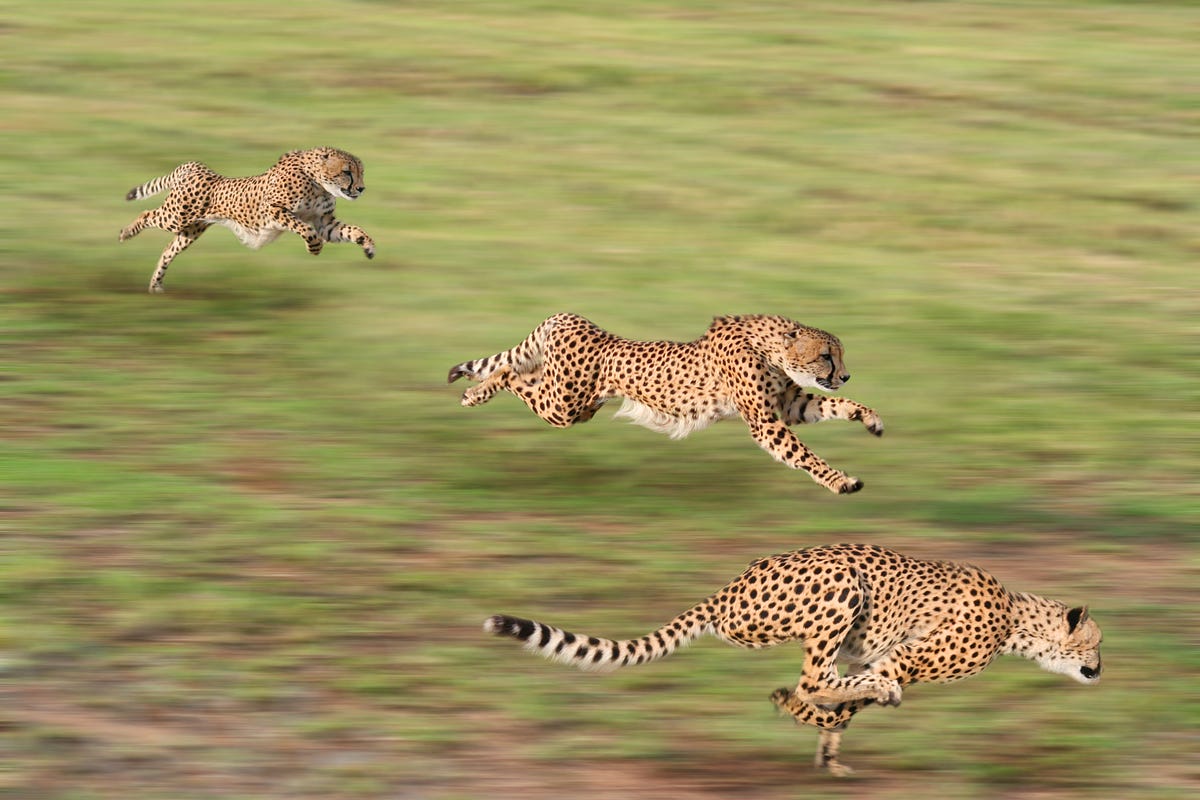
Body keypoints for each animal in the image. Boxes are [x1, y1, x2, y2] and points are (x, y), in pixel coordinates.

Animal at [119, 147, 375, 293]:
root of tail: (196, 167)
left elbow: (353, 230)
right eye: (347, 172)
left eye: (361, 172)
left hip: (190, 231)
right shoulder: (273, 210)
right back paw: (126, 233)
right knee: (146, 214)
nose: (361, 188)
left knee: (167, 251)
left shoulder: (324, 222)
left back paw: (155, 285)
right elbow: (304, 228)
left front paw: (368, 245)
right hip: (175, 216)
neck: (318, 182)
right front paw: (314, 248)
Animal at [448, 313, 883, 494]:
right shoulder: (765, 422)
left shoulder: (789, 404)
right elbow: (805, 455)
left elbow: (836, 405)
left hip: (574, 401)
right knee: (509, 373)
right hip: (563, 406)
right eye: (827, 356)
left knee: (518, 372)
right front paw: (840, 481)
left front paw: (869, 417)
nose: (845, 375)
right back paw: (475, 392)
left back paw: (475, 388)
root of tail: (570, 317)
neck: (770, 345)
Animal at [484, 543, 1104, 776]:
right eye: (1096, 644)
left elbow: (849, 705)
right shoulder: (903, 657)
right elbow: (856, 693)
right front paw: (815, 724)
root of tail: (729, 588)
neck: (1018, 618)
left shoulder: (879, 658)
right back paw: (791, 697)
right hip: (842, 587)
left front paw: (828, 754)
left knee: (820, 678)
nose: (1101, 669)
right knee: (811, 678)